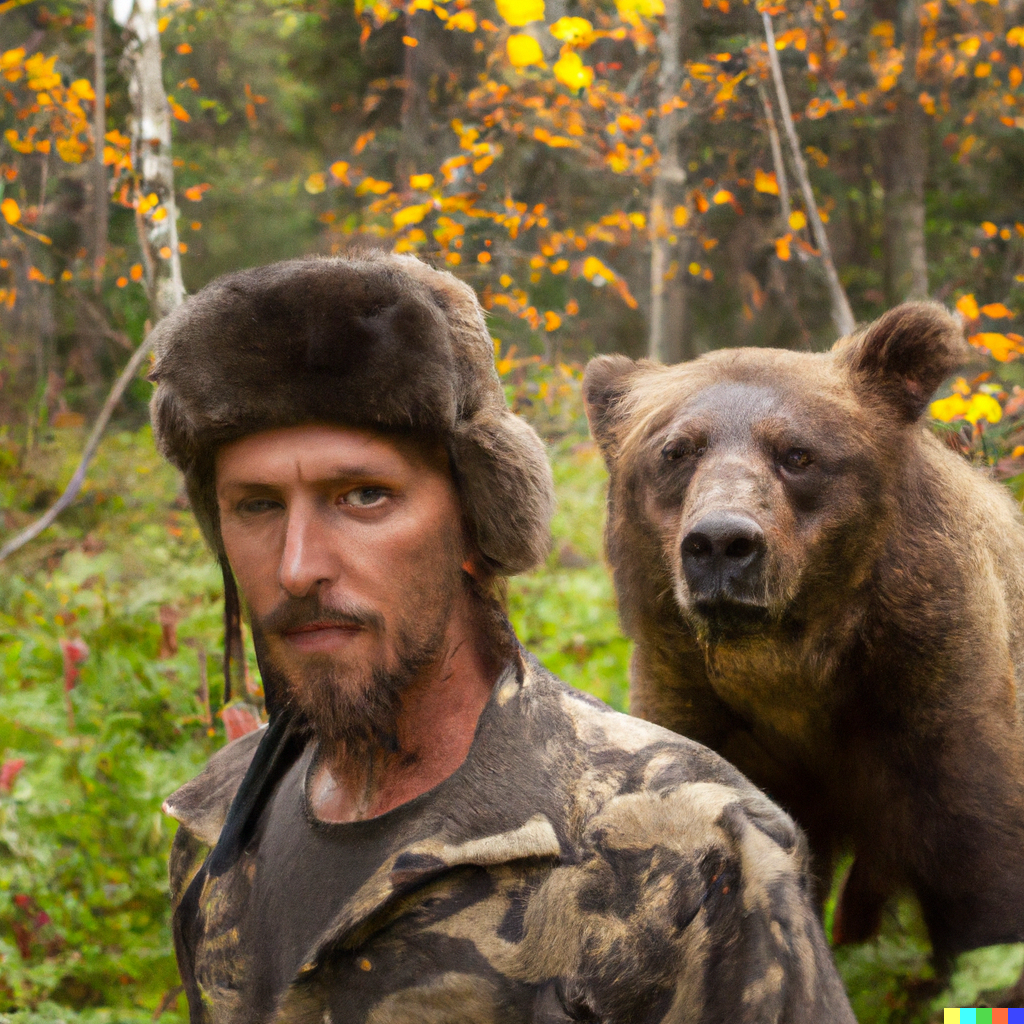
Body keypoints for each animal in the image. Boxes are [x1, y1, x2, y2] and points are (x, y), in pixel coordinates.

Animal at [582, 301, 1024, 967]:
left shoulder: (933, 696)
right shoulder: (701, 713)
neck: (792, 671)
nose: (721, 543)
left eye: (798, 453)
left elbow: (984, 882)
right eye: (677, 452)